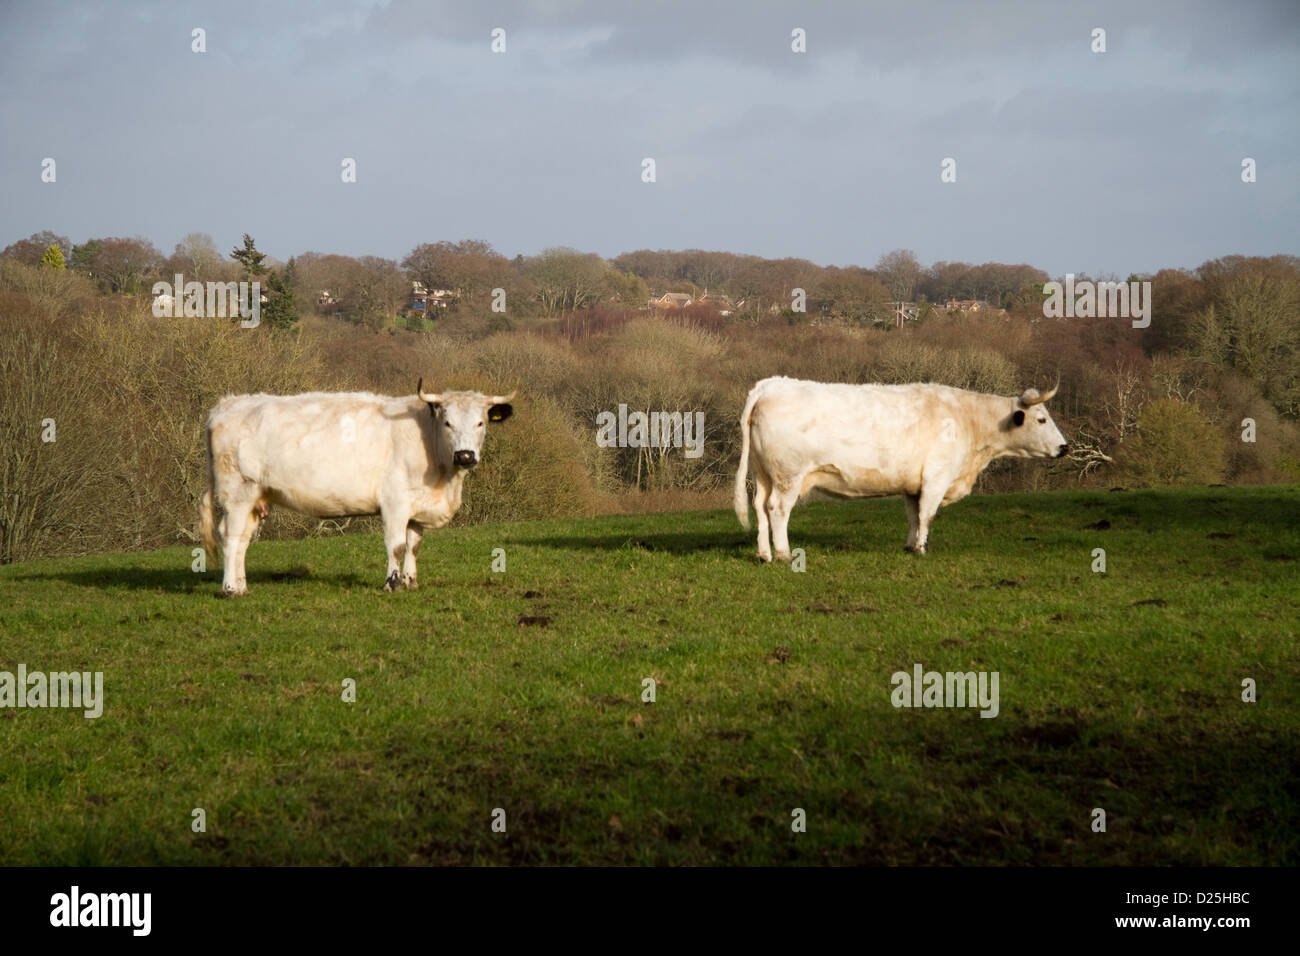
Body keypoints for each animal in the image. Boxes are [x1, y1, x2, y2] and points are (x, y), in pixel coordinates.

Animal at [199, 380, 514, 595]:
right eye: (447, 422)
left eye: (481, 422)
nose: (465, 455)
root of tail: (226, 405)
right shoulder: (395, 502)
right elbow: (397, 545)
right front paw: (392, 583)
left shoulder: (417, 506)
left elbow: (414, 546)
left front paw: (411, 582)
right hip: (236, 493)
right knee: (231, 536)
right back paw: (230, 589)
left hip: (255, 498)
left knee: (243, 539)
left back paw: (242, 586)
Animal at [733, 376, 1068, 560]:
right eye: (1041, 419)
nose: (1064, 447)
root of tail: (771, 386)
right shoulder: (936, 478)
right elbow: (927, 515)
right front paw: (921, 549)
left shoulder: (913, 485)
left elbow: (913, 515)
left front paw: (909, 546)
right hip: (788, 476)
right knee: (777, 509)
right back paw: (783, 553)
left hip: (763, 475)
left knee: (759, 507)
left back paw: (764, 554)